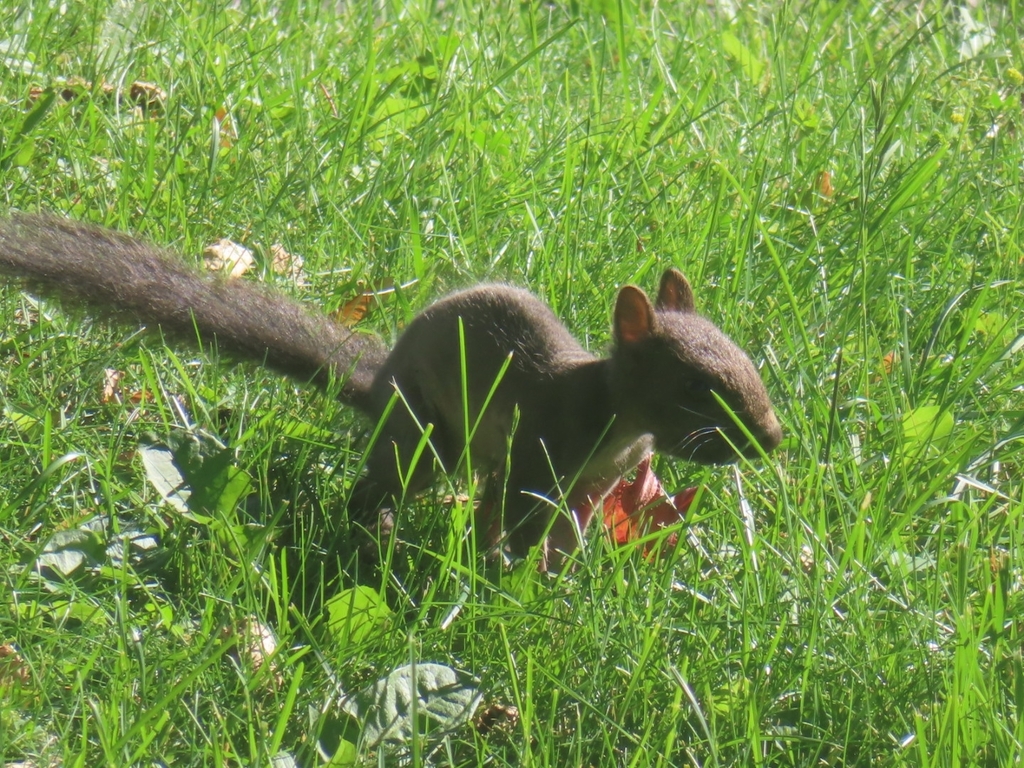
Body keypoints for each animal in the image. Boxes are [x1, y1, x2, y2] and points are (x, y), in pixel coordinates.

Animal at [0, 213, 782, 568]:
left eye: (747, 364)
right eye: (694, 385)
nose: (771, 439)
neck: (612, 418)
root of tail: (378, 387)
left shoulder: (594, 481)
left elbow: (565, 532)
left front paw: (559, 576)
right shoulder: (539, 455)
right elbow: (519, 522)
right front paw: (511, 576)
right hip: (425, 435)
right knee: (384, 485)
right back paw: (374, 536)